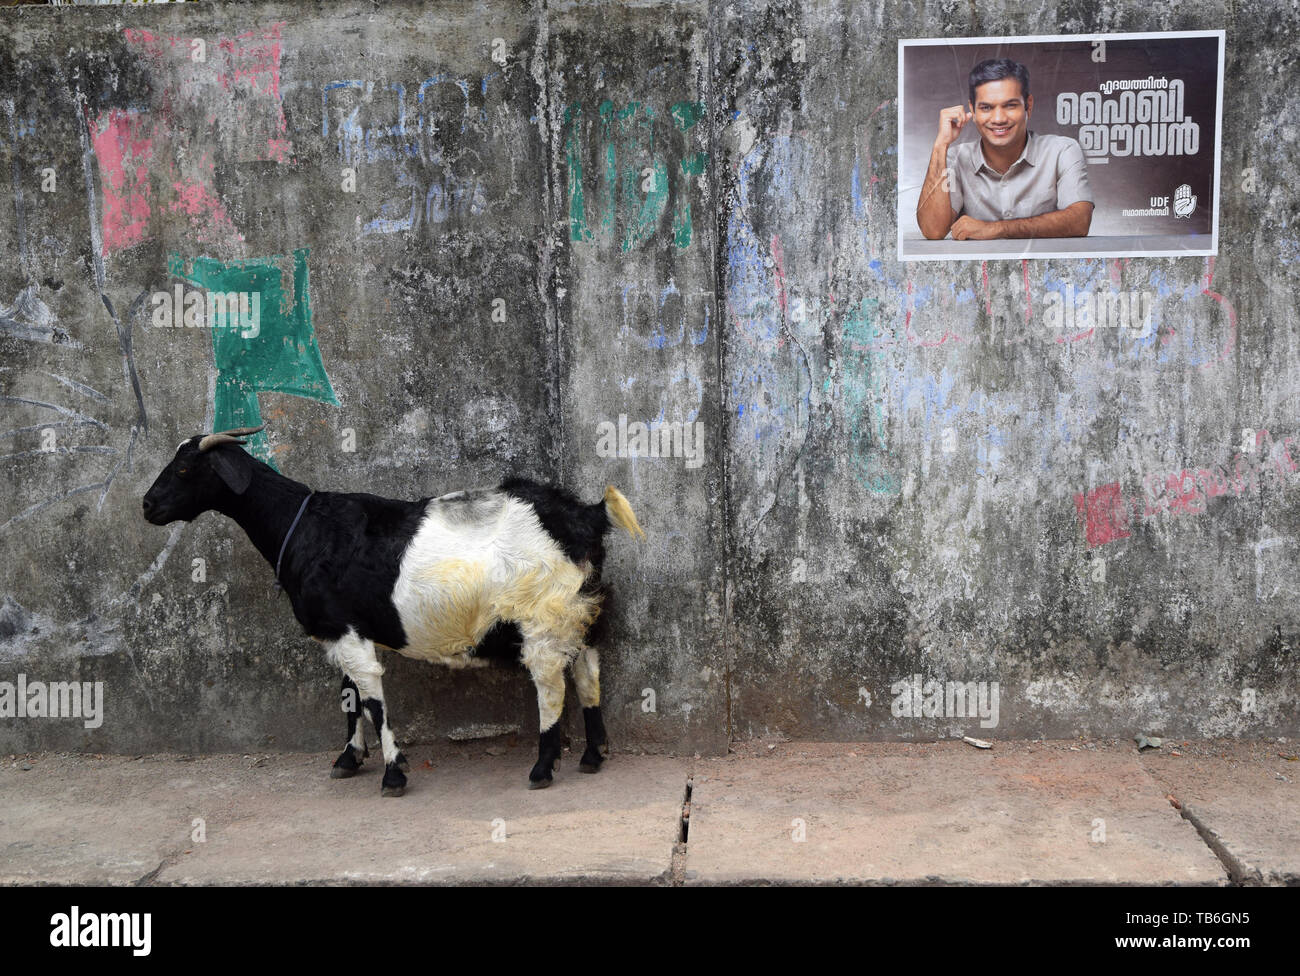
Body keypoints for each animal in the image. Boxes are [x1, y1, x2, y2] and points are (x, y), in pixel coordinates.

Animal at [141, 426, 645, 795]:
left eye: (185, 467)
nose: (147, 505)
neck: (303, 527)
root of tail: (587, 515)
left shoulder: (346, 629)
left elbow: (371, 700)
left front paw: (393, 773)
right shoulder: (345, 630)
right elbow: (348, 695)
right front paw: (348, 758)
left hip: (542, 617)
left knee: (551, 686)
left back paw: (542, 768)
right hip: (580, 610)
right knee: (588, 673)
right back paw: (592, 755)